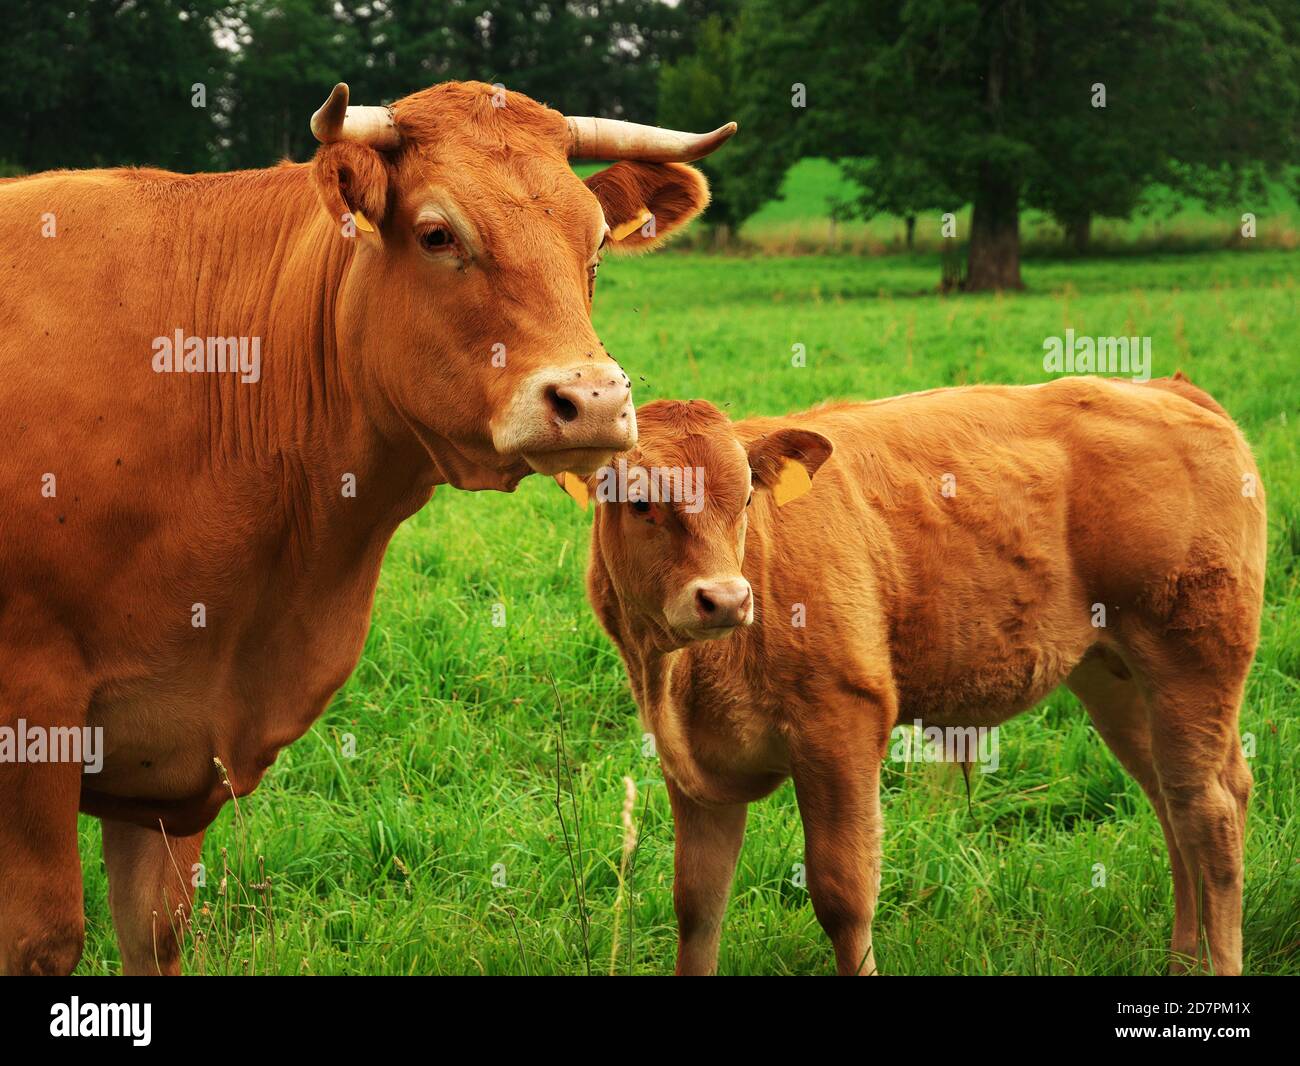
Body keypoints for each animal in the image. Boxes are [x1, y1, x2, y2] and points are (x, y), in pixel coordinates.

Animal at [0, 79, 735, 975]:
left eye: (594, 244)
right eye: (437, 233)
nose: (593, 400)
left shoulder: (170, 754)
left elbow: (154, 930)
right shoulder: (31, 712)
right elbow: (42, 936)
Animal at [564, 375, 1265, 975]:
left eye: (742, 498)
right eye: (639, 501)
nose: (727, 599)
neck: (681, 679)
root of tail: (1165, 389)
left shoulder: (842, 726)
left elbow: (843, 896)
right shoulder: (691, 766)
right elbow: (698, 906)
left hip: (1192, 662)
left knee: (1210, 810)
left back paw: (1219, 966)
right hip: (1118, 680)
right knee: (1173, 802)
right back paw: (1181, 961)